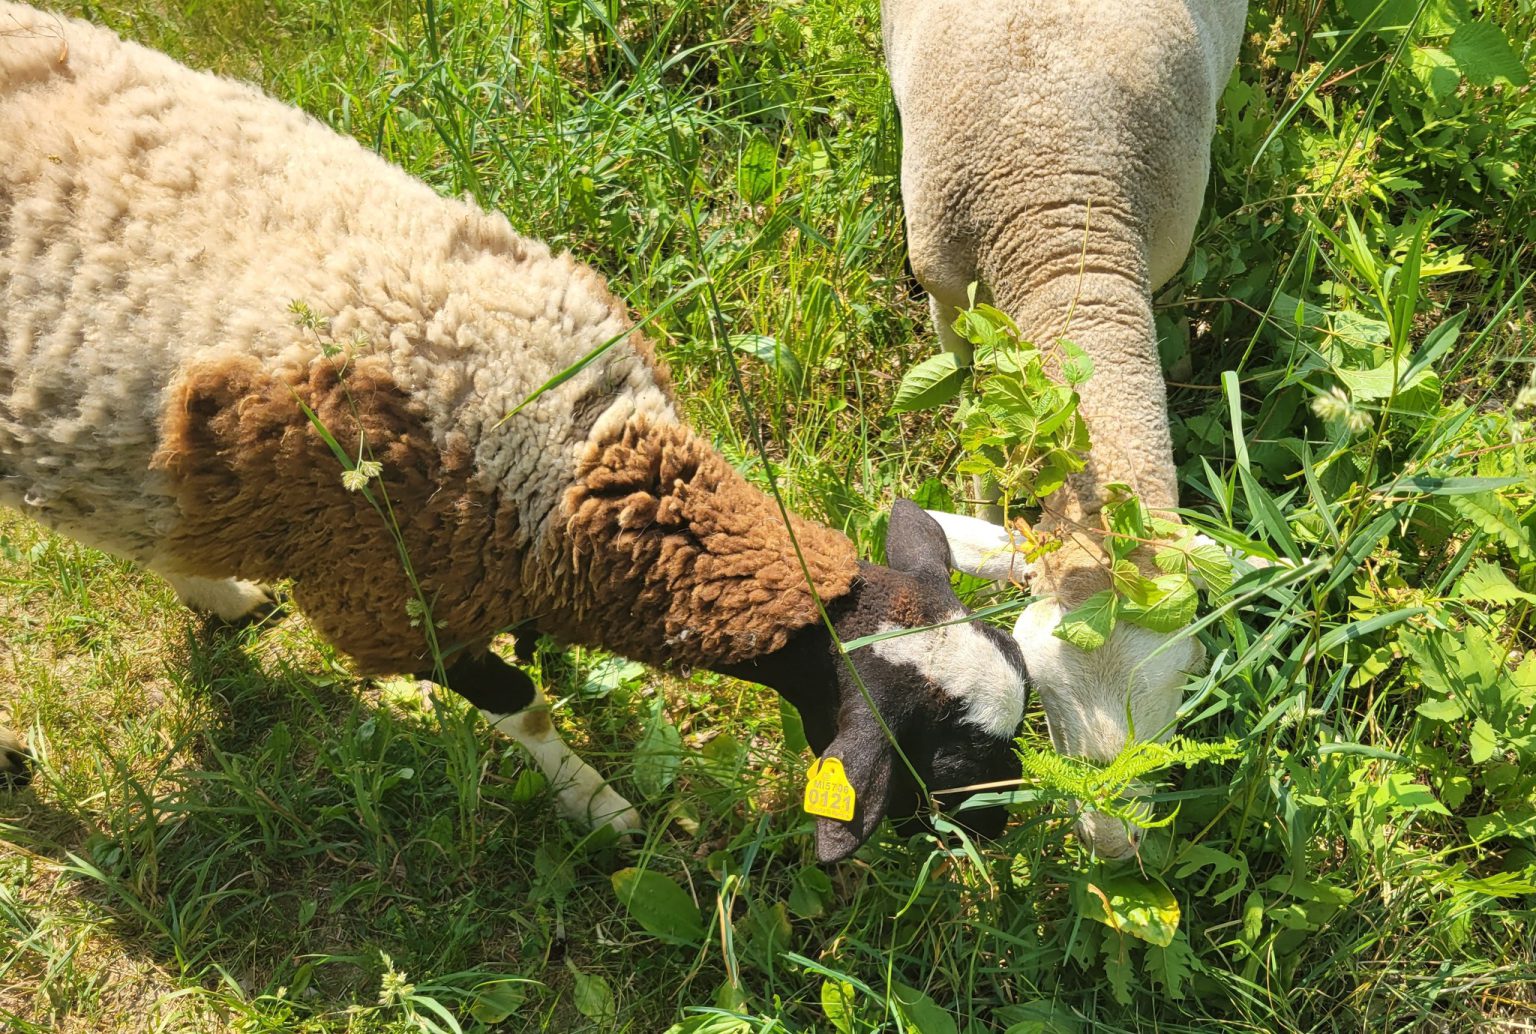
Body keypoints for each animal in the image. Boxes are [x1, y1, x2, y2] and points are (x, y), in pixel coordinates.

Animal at [0, 2, 1032, 863]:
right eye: (949, 765)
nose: (1012, 829)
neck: (562, 459)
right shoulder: (390, 606)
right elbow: (522, 713)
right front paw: (598, 807)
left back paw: (214, 591)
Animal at [883, 0, 1246, 857]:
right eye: (1041, 692)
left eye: (1186, 674)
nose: (1114, 845)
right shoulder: (946, 294)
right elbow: (972, 425)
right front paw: (982, 540)